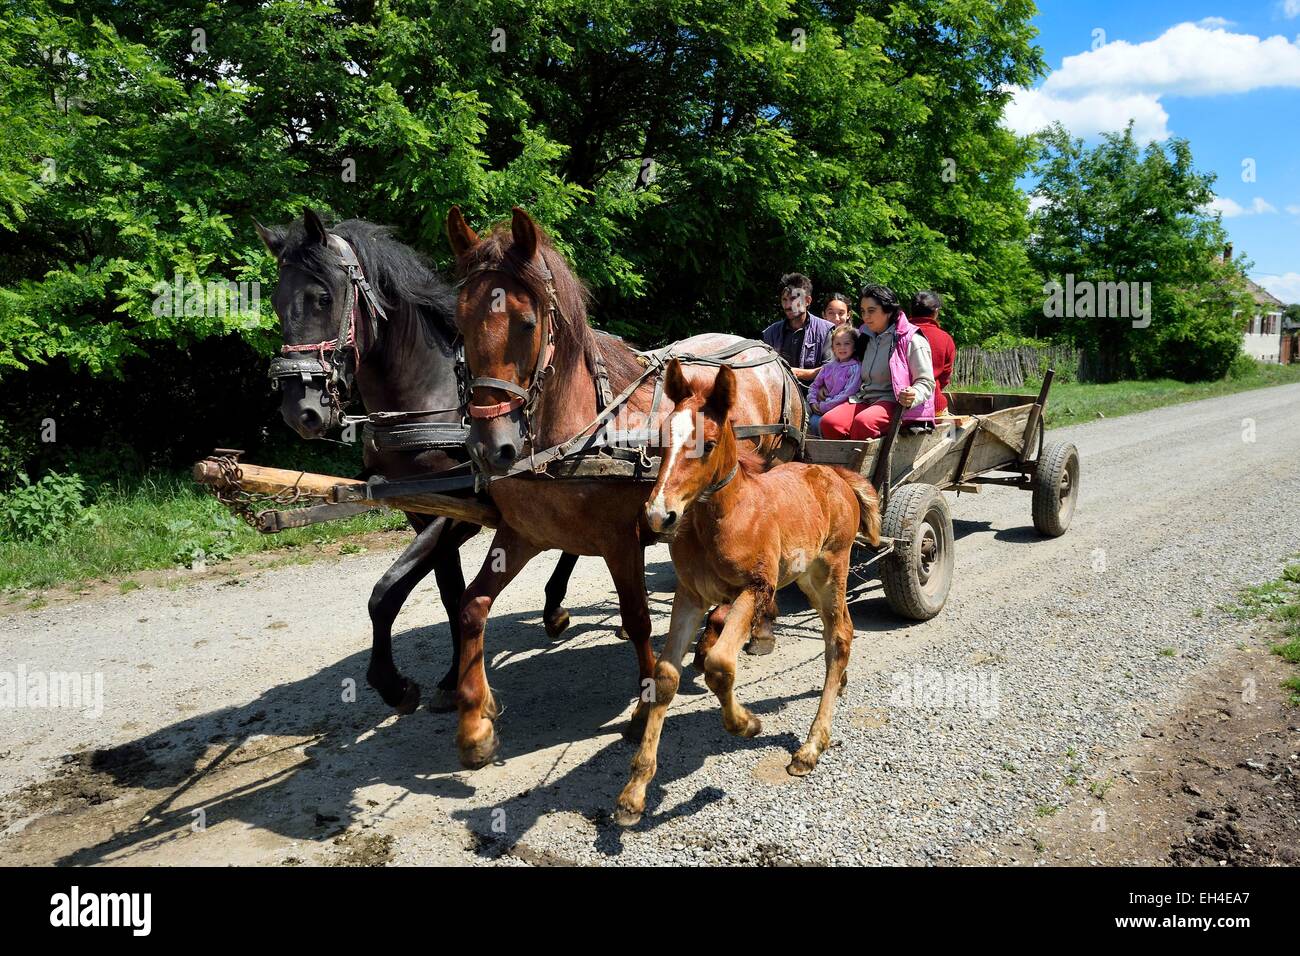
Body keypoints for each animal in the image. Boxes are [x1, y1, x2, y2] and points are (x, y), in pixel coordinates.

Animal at [254, 208, 581, 714]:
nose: (300, 409)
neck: (432, 403)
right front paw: (448, 677)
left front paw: (394, 683)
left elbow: (386, 591)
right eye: (274, 301)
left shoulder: (458, 512)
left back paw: (555, 606)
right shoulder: (421, 509)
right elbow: (445, 592)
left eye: (322, 298)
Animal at [444, 204, 804, 769]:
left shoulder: (621, 541)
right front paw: (475, 723)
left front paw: (643, 707)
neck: (576, 433)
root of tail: (770, 354)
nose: (490, 448)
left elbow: (636, 618)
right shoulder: (521, 534)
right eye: (458, 326)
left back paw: (748, 628)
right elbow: (472, 606)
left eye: (527, 324)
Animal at [615, 358, 881, 826]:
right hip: (807, 578)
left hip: (832, 569)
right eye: (662, 441)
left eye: (709, 443)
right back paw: (841, 686)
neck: (719, 518)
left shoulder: (755, 590)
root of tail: (837, 474)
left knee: (839, 637)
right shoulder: (691, 596)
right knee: (839, 634)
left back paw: (811, 746)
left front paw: (747, 724)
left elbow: (720, 663)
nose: (658, 515)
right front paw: (635, 790)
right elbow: (665, 676)